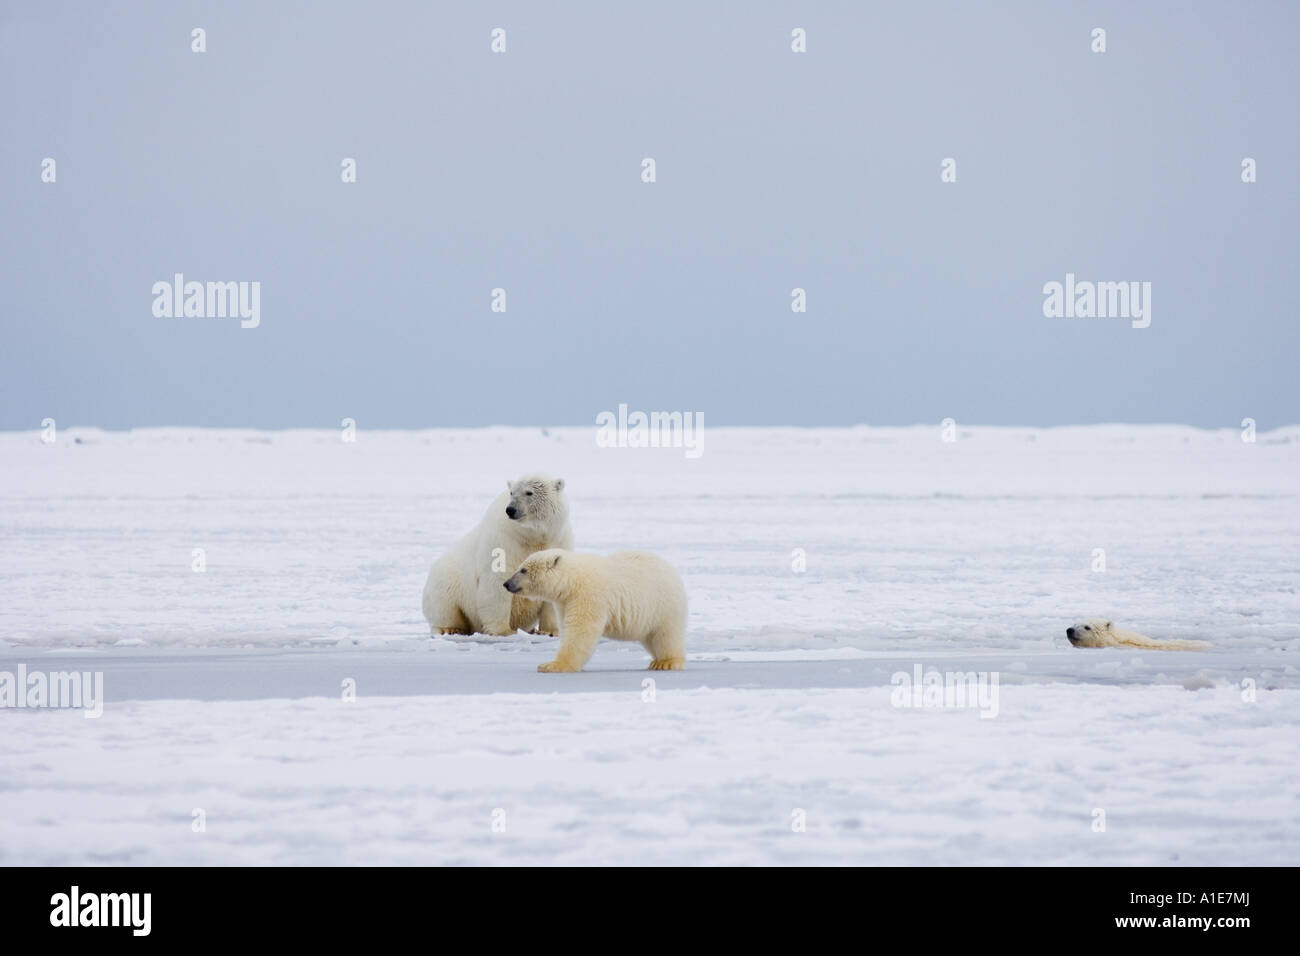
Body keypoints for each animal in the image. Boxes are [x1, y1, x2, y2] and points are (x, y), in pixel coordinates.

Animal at [421, 474, 573, 637]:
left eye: (529, 492)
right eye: (512, 492)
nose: (511, 510)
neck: (532, 536)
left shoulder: (558, 540)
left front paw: (550, 631)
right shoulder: (503, 541)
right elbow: (497, 582)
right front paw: (503, 631)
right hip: (446, 583)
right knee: (445, 608)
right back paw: (450, 629)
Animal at [502, 549, 687, 672]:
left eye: (523, 569)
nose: (506, 583)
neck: (572, 581)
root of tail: (672, 571)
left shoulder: (587, 595)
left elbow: (581, 631)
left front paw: (552, 665)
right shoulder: (564, 602)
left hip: (662, 604)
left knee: (665, 635)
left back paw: (666, 662)